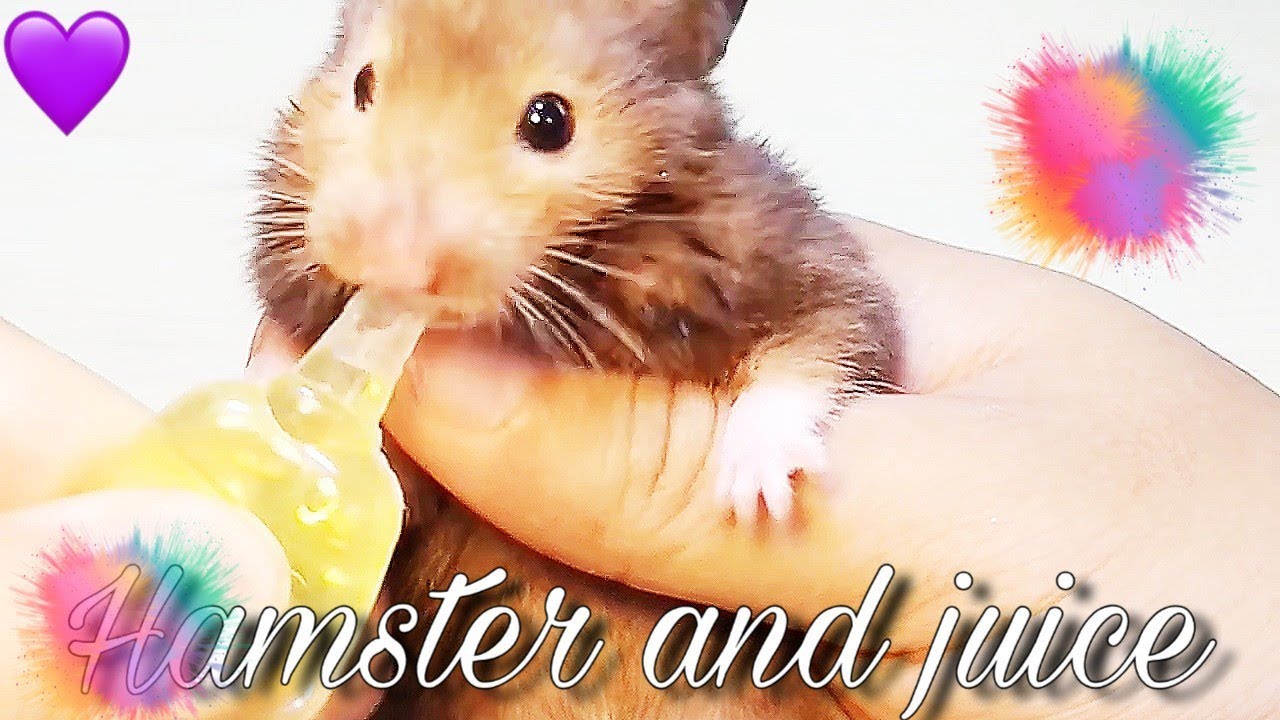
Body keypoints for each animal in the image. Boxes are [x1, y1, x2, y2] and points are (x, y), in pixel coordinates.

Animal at [252, 0, 899, 717]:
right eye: (362, 84)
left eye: (549, 120)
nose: (388, 260)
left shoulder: (801, 264)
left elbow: (824, 342)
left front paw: (756, 499)